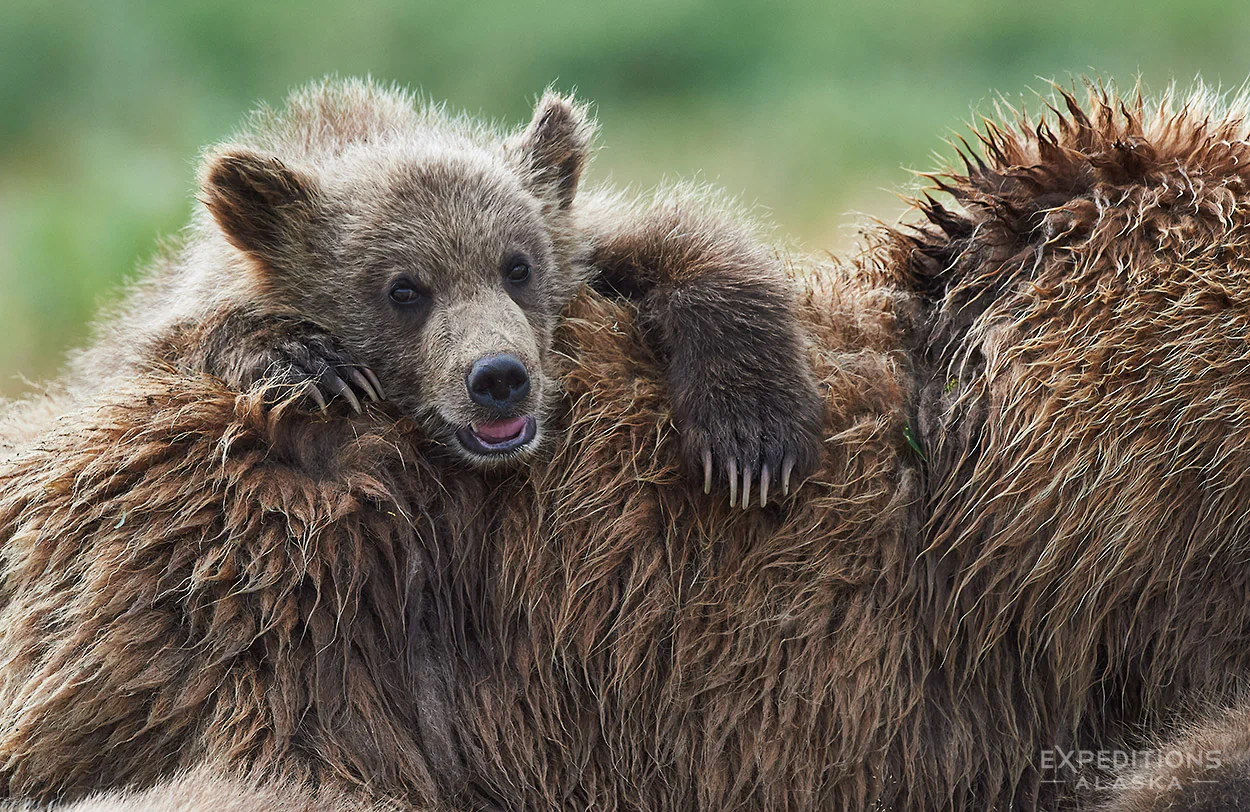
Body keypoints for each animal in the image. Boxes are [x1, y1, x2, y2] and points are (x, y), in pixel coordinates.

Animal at [27, 78, 823, 506]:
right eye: (403, 290)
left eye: (517, 266)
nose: (499, 378)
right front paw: (311, 361)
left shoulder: (585, 234)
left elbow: (687, 242)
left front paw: (752, 439)